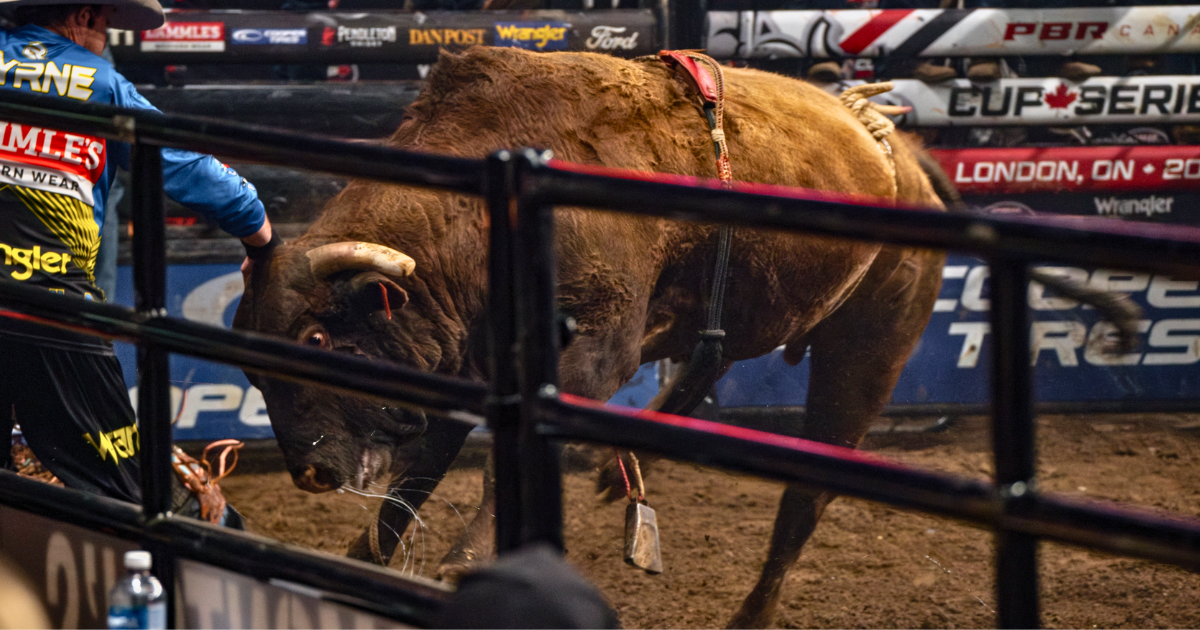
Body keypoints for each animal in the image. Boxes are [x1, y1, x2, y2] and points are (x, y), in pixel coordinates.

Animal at [231, 46, 1118, 627]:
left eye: (328, 343)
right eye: (261, 373)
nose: (311, 471)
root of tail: (901, 149)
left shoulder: (594, 351)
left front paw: (460, 562)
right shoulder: (464, 355)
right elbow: (427, 459)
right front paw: (370, 550)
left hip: (872, 341)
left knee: (806, 497)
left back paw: (749, 612)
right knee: (708, 362)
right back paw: (625, 468)